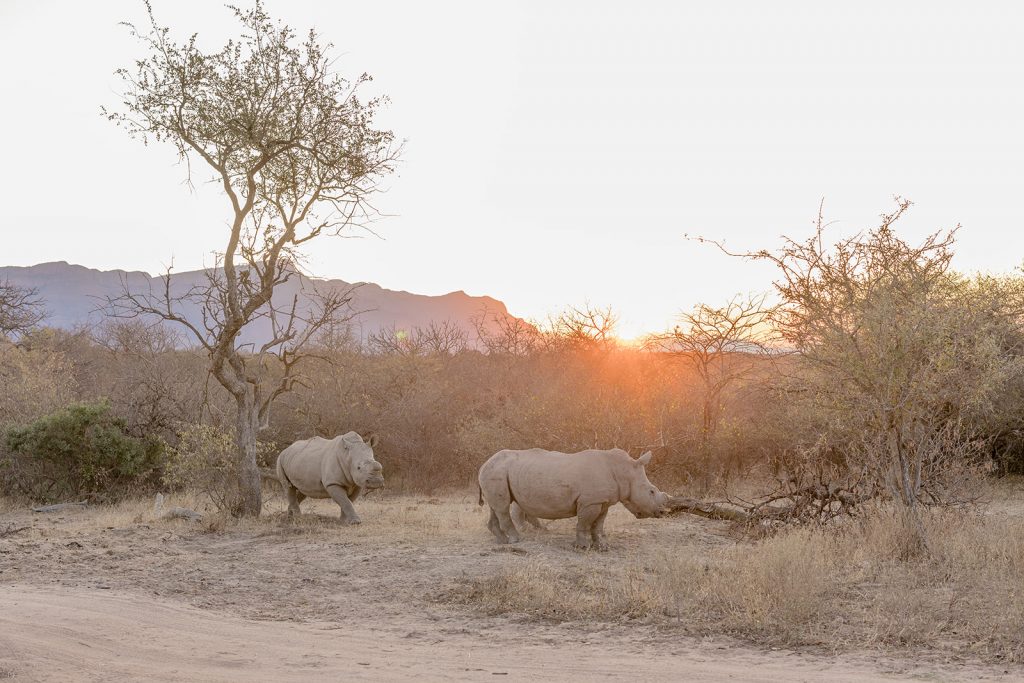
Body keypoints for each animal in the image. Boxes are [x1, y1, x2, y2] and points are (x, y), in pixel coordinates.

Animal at [478, 448, 670, 550]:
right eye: (651, 492)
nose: (662, 512)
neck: (624, 470)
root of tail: (483, 465)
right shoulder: (590, 501)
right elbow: (584, 523)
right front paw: (582, 548)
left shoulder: (602, 501)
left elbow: (598, 525)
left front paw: (602, 548)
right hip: (496, 471)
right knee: (502, 507)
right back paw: (516, 540)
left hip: (498, 471)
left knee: (496, 507)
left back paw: (501, 541)